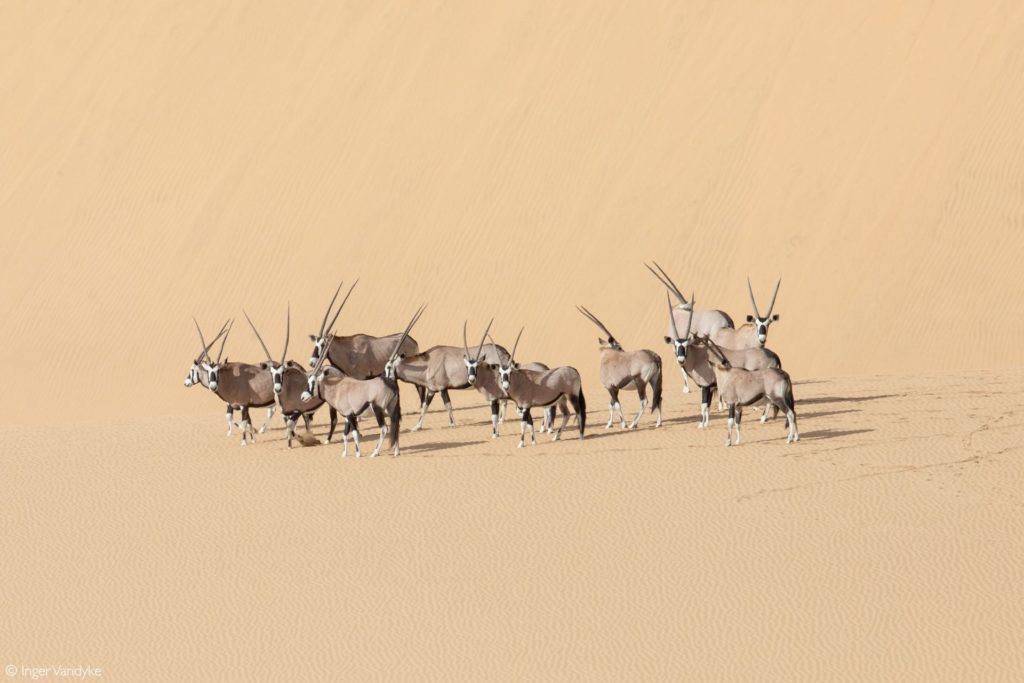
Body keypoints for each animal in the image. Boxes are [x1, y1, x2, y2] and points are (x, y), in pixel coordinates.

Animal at [243, 307, 337, 448]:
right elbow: (289, 428)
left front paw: (306, 440)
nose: (277, 389)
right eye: (271, 373)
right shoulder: (285, 414)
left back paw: (326, 440)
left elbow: (290, 427)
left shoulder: (297, 411)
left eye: (283, 372)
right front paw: (290, 444)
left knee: (333, 420)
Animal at [645, 262, 734, 392]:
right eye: (690, 308)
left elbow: (682, 367)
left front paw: (686, 388)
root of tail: (726, 320)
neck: (677, 312)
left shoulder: (675, 347)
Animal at [663, 296, 782, 428]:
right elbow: (708, 406)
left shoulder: (705, 386)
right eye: (676, 345)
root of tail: (774, 355)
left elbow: (704, 406)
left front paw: (701, 425)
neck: (698, 356)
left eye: (686, 346)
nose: (681, 359)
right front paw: (705, 423)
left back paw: (763, 418)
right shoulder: (710, 387)